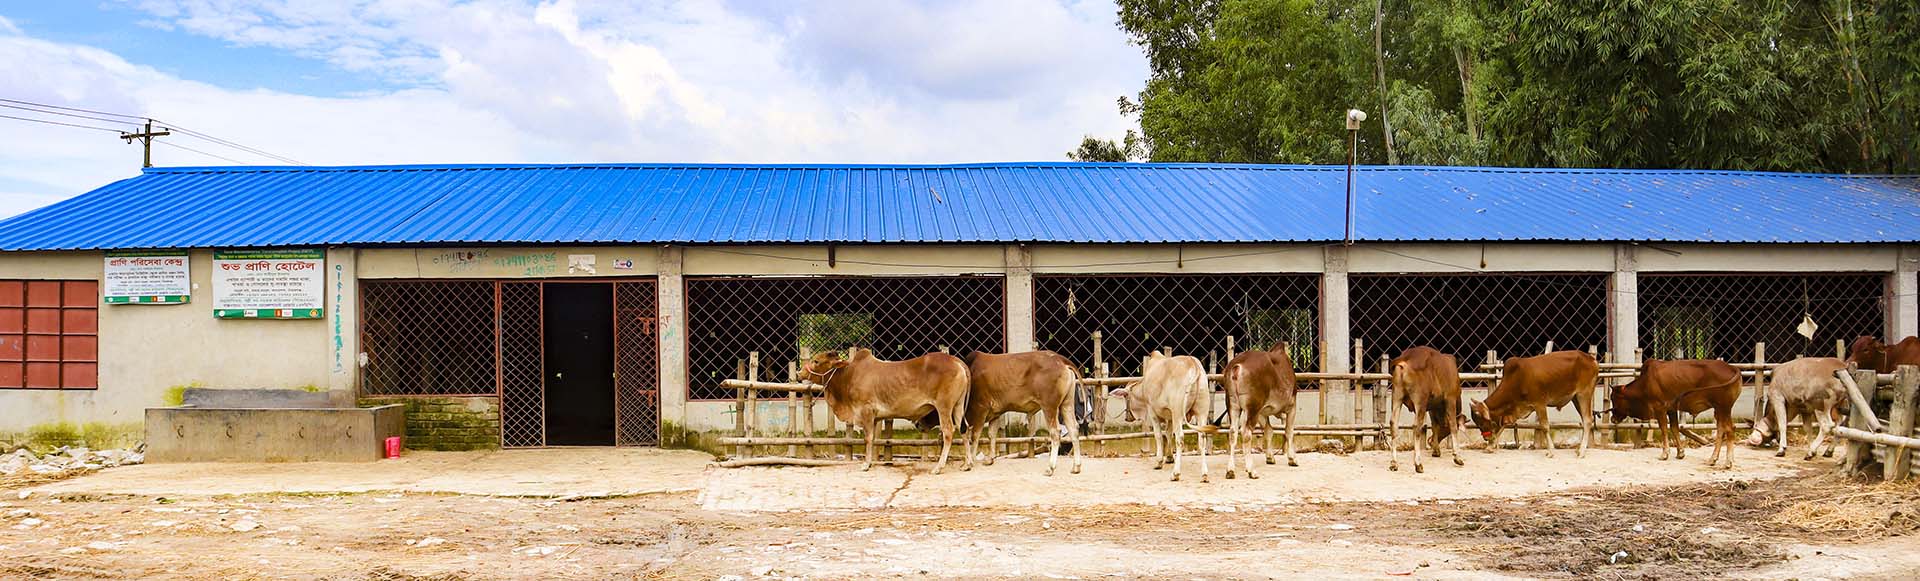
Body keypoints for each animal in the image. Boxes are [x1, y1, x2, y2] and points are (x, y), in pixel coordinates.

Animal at [798, 348, 970, 474]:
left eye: (816, 361)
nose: (799, 373)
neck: (848, 375)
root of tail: (957, 361)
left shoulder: (866, 411)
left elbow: (868, 438)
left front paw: (865, 464)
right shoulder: (874, 417)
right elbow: (873, 439)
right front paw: (870, 462)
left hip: (944, 407)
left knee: (948, 431)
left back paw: (938, 467)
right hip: (958, 406)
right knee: (964, 429)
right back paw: (967, 464)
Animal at [1108, 351, 1214, 482]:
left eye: (1125, 397)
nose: (1127, 418)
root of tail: (1193, 364)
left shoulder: (1152, 411)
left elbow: (1158, 435)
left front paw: (1159, 462)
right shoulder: (1170, 416)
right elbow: (1168, 434)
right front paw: (1169, 458)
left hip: (1178, 412)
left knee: (1180, 438)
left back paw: (1176, 473)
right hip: (1201, 412)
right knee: (1202, 439)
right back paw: (1204, 474)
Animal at [1221, 342, 1299, 479]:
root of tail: (1237, 365)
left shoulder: (1262, 412)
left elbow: (1269, 431)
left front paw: (1270, 457)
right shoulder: (1292, 406)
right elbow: (1289, 432)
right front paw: (1292, 459)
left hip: (1233, 405)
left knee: (1233, 432)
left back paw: (1230, 470)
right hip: (1252, 407)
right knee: (1246, 433)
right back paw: (1251, 471)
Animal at [1468, 350, 1598, 458]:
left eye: (1481, 421)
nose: (1485, 437)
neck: (1517, 379)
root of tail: (1590, 358)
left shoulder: (1539, 404)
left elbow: (1545, 426)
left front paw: (1551, 451)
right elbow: (1504, 425)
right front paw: (1490, 447)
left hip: (1584, 394)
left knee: (1587, 420)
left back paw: (1581, 451)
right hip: (1575, 398)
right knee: (1584, 420)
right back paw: (1579, 449)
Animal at [1607, 358, 1742, 468]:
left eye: (1614, 398)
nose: (1613, 419)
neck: (1644, 383)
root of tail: (1732, 368)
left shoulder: (1659, 408)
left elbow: (1664, 429)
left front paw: (1665, 454)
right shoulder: (1671, 409)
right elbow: (1674, 428)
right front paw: (1680, 453)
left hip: (1723, 407)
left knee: (1730, 429)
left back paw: (1728, 462)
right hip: (1719, 410)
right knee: (1721, 430)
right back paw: (1713, 459)